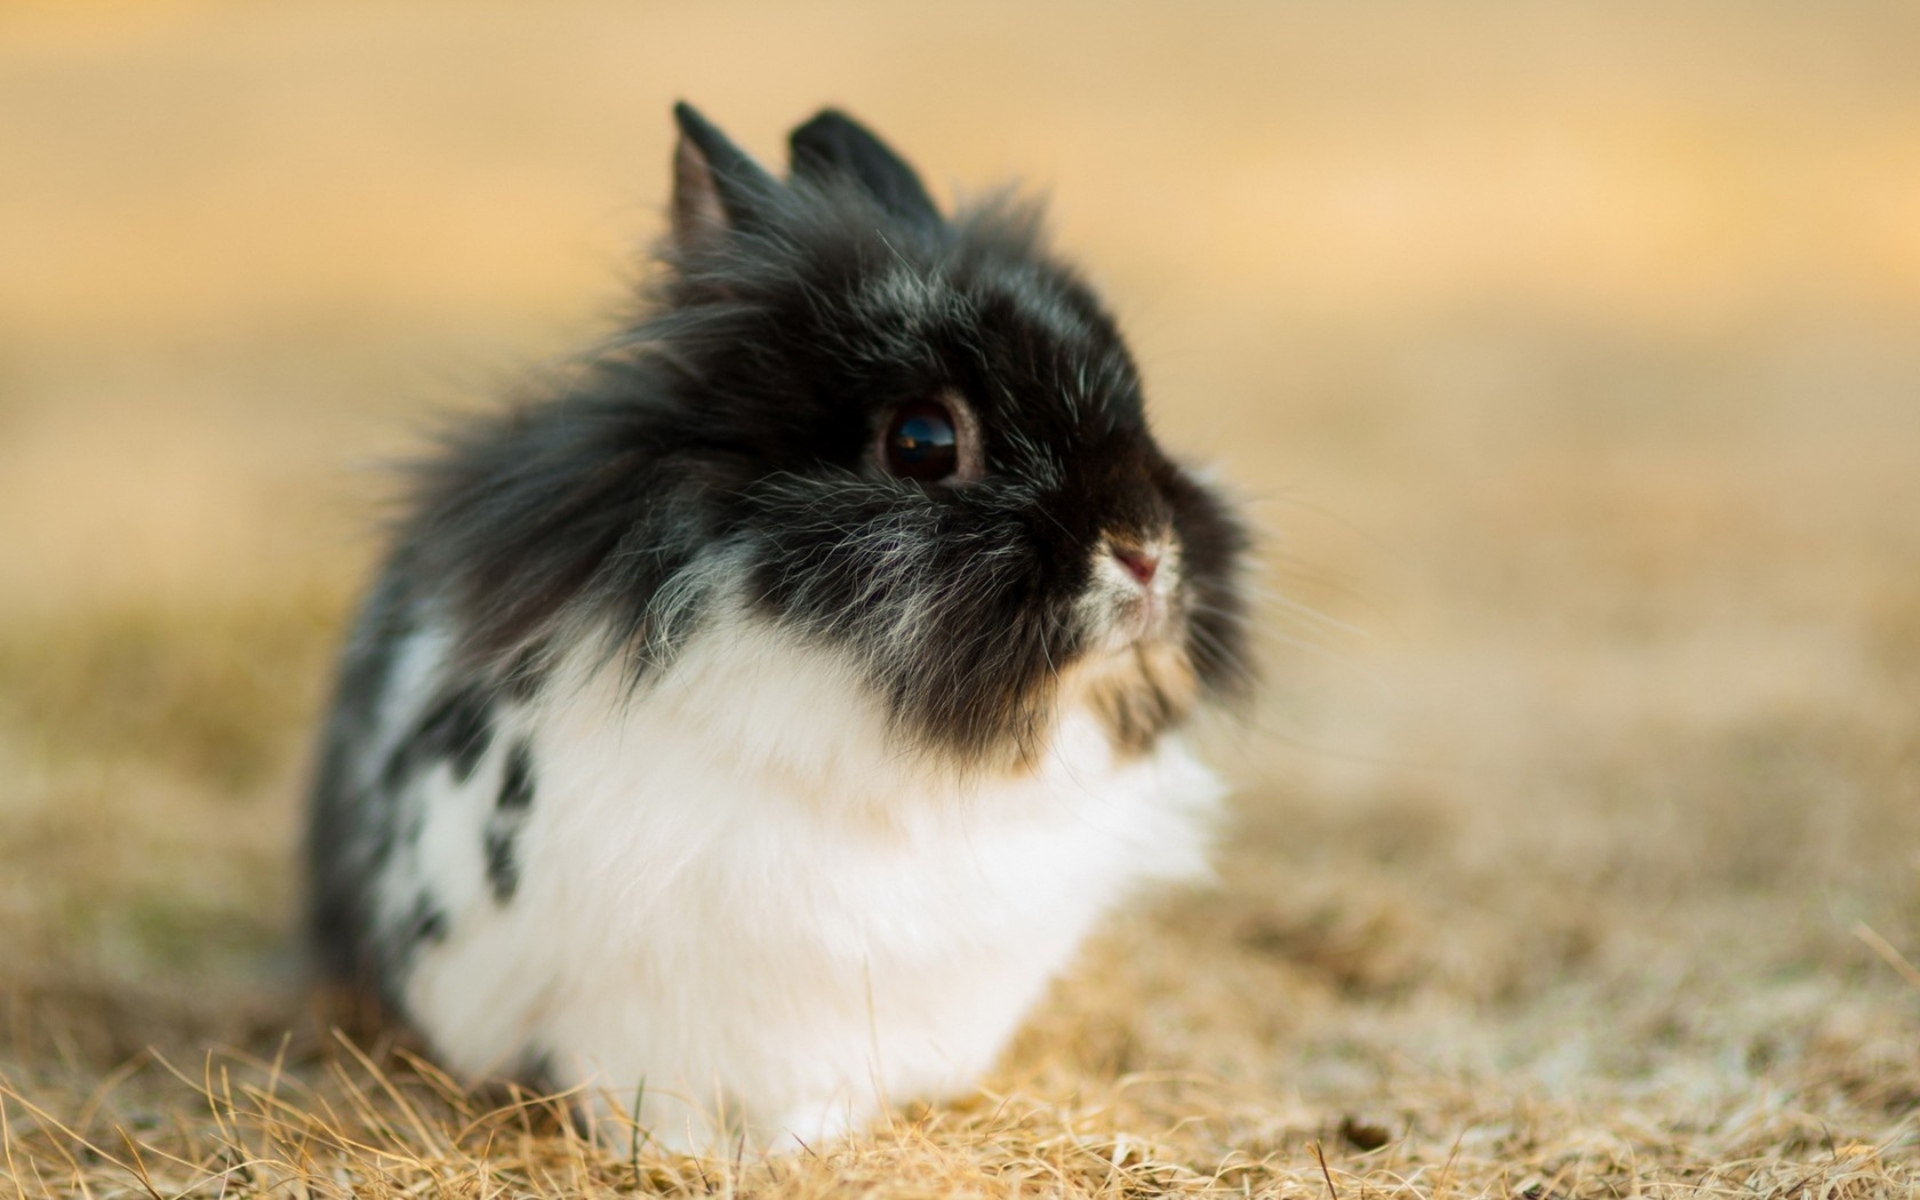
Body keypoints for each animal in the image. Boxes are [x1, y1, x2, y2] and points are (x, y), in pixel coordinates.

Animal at [305, 102, 1251, 1154]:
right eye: (922, 442)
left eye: (1140, 403)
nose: (1148, 551)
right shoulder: (621, 1007)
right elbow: (643, 1099)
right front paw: (685, 1157)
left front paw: (806, 1147)